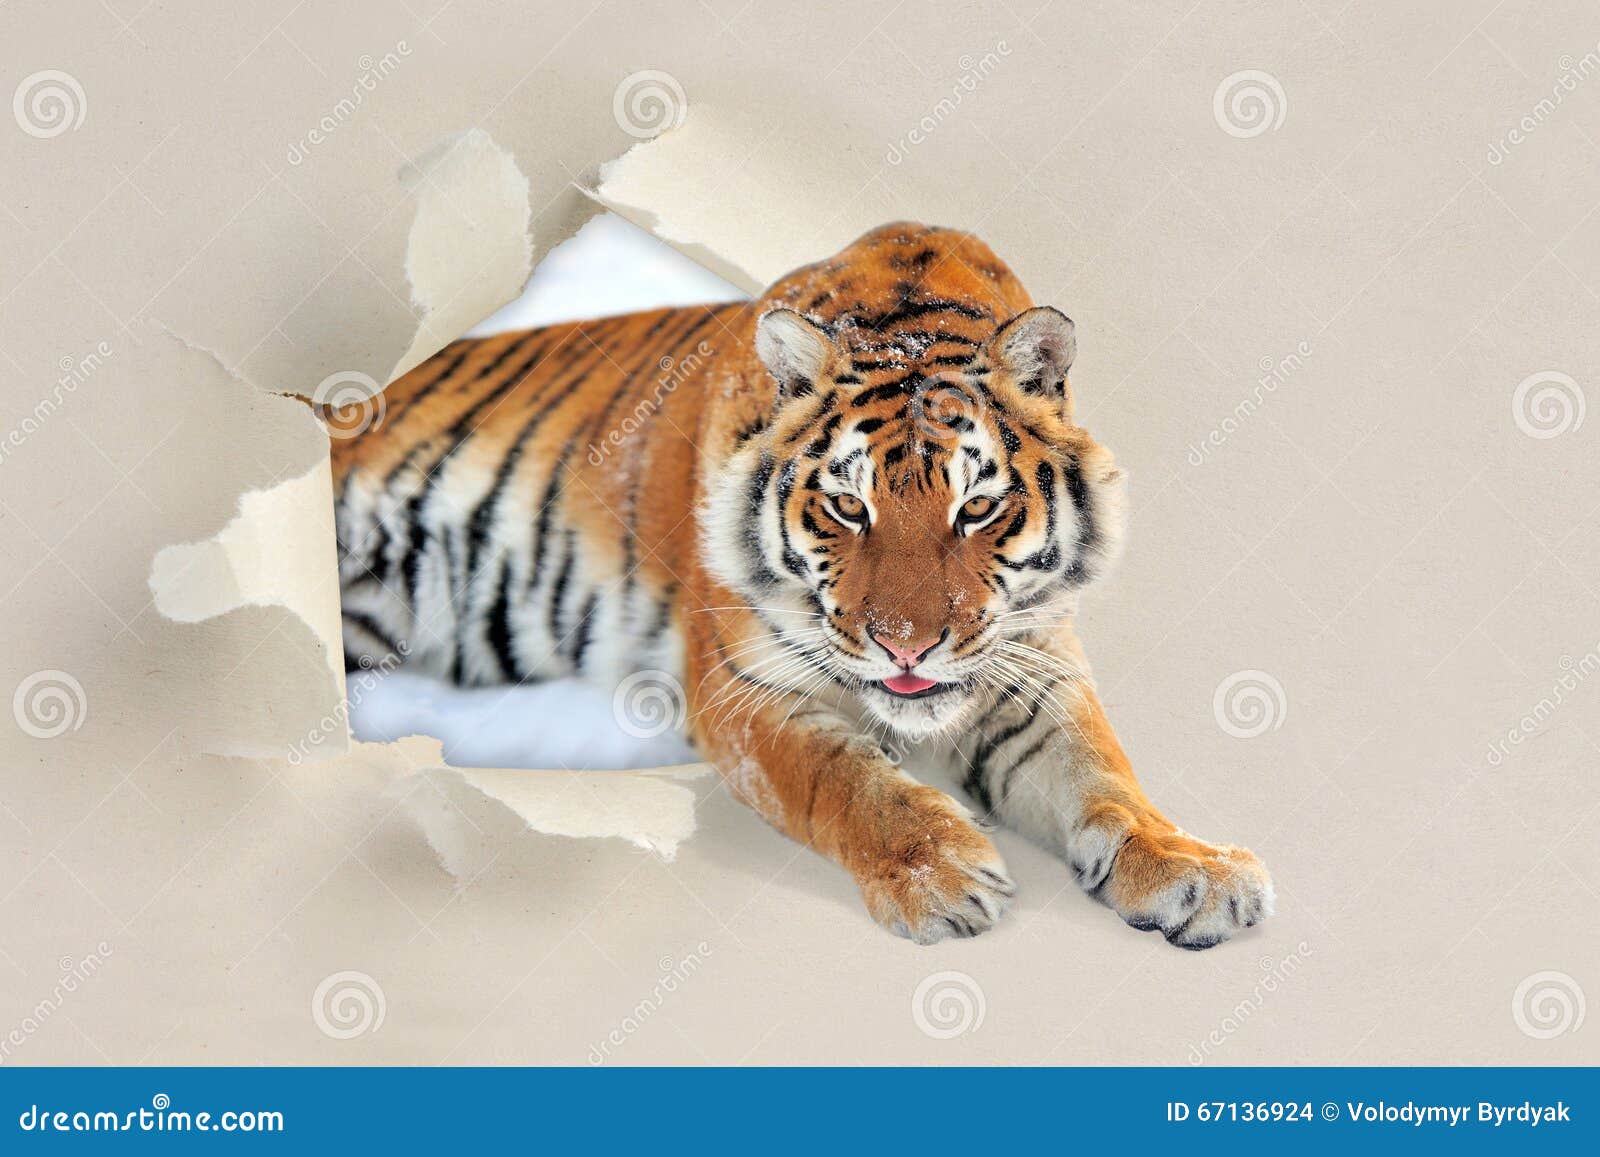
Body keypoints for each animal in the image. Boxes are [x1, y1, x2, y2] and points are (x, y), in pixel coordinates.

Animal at [330, 221, 1274, 948]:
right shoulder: (744, 690)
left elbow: (1105, 775)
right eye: (848, 506)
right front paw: (940, 871)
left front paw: (1194, 869)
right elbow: (842, 777)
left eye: (976, 506)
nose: (905, 645)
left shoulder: (1033, 668)